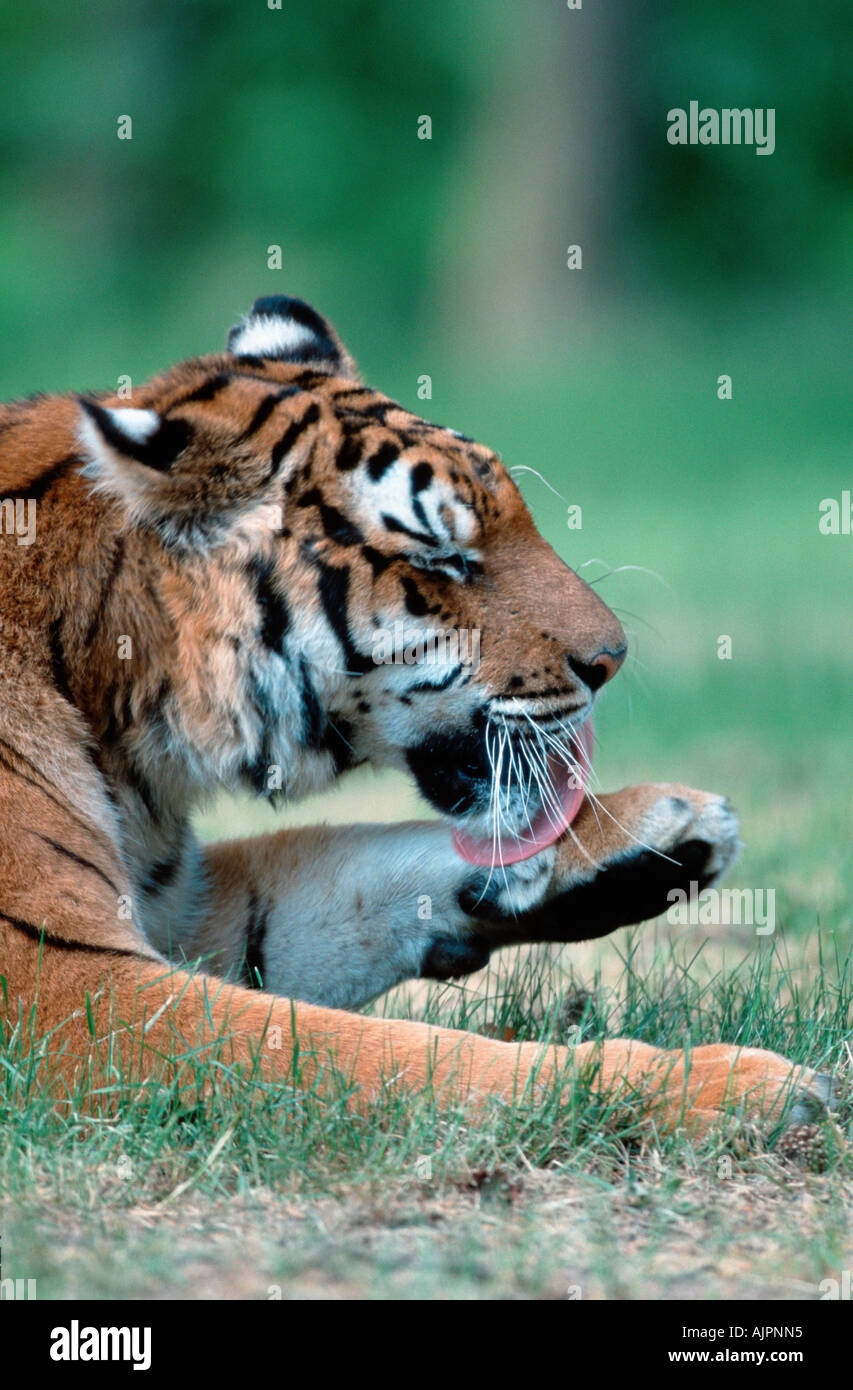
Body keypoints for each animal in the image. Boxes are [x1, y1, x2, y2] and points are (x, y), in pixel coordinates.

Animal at [0, 293, 833, 1134]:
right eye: (442, 560)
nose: (611, 659)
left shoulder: (188, 907)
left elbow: (356, 857)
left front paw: (653, 828)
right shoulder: (63, 988)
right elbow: (390, 1054)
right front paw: (733, 1084)